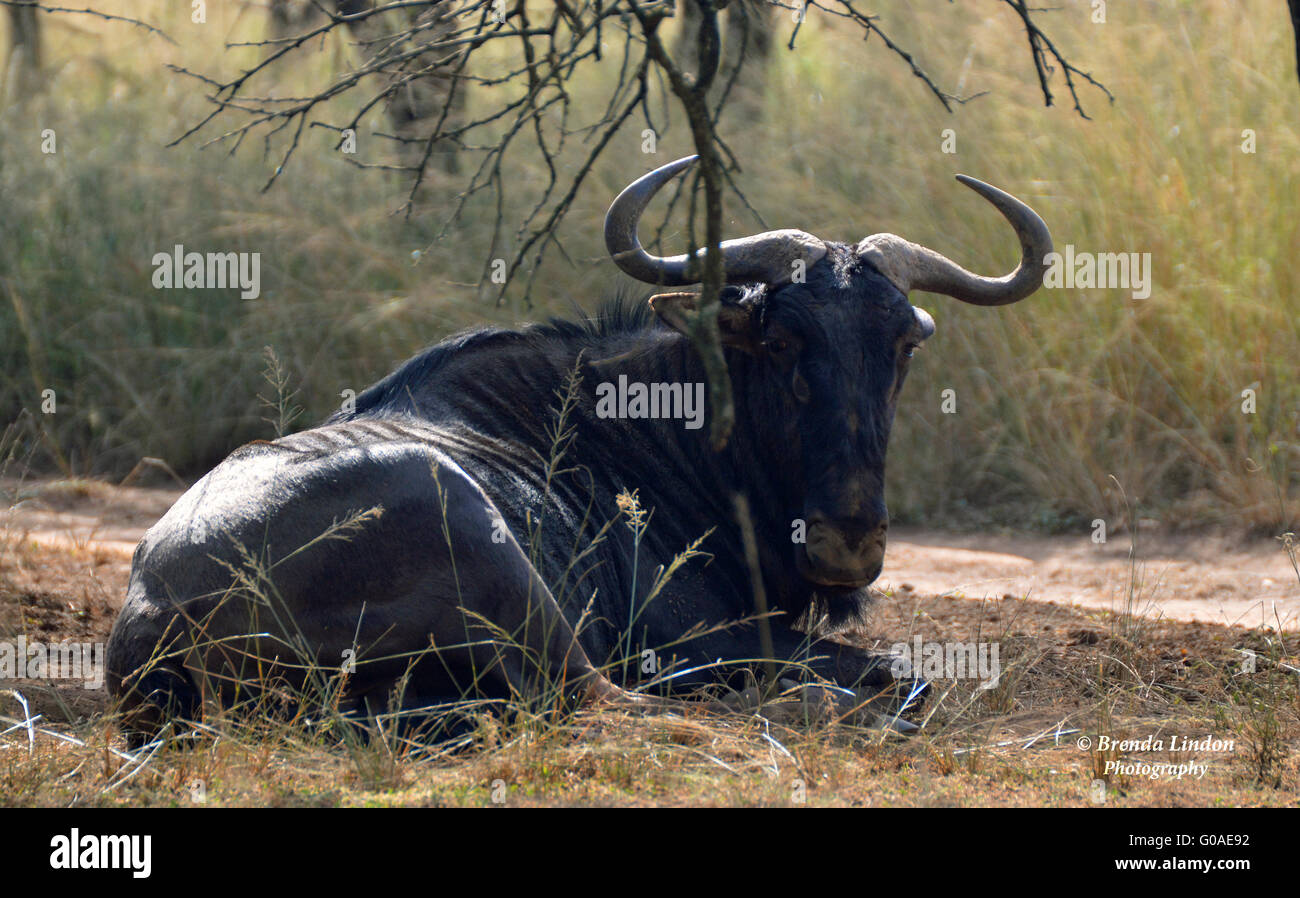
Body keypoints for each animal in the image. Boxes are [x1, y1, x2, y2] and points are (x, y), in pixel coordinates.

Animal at [106, 157, 1051, 740]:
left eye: (902, 345)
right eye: (782, 340)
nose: (846, 542)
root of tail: (161, 607)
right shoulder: (704, 637)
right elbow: (898, 669)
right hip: (494, 555)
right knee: (608, 699)